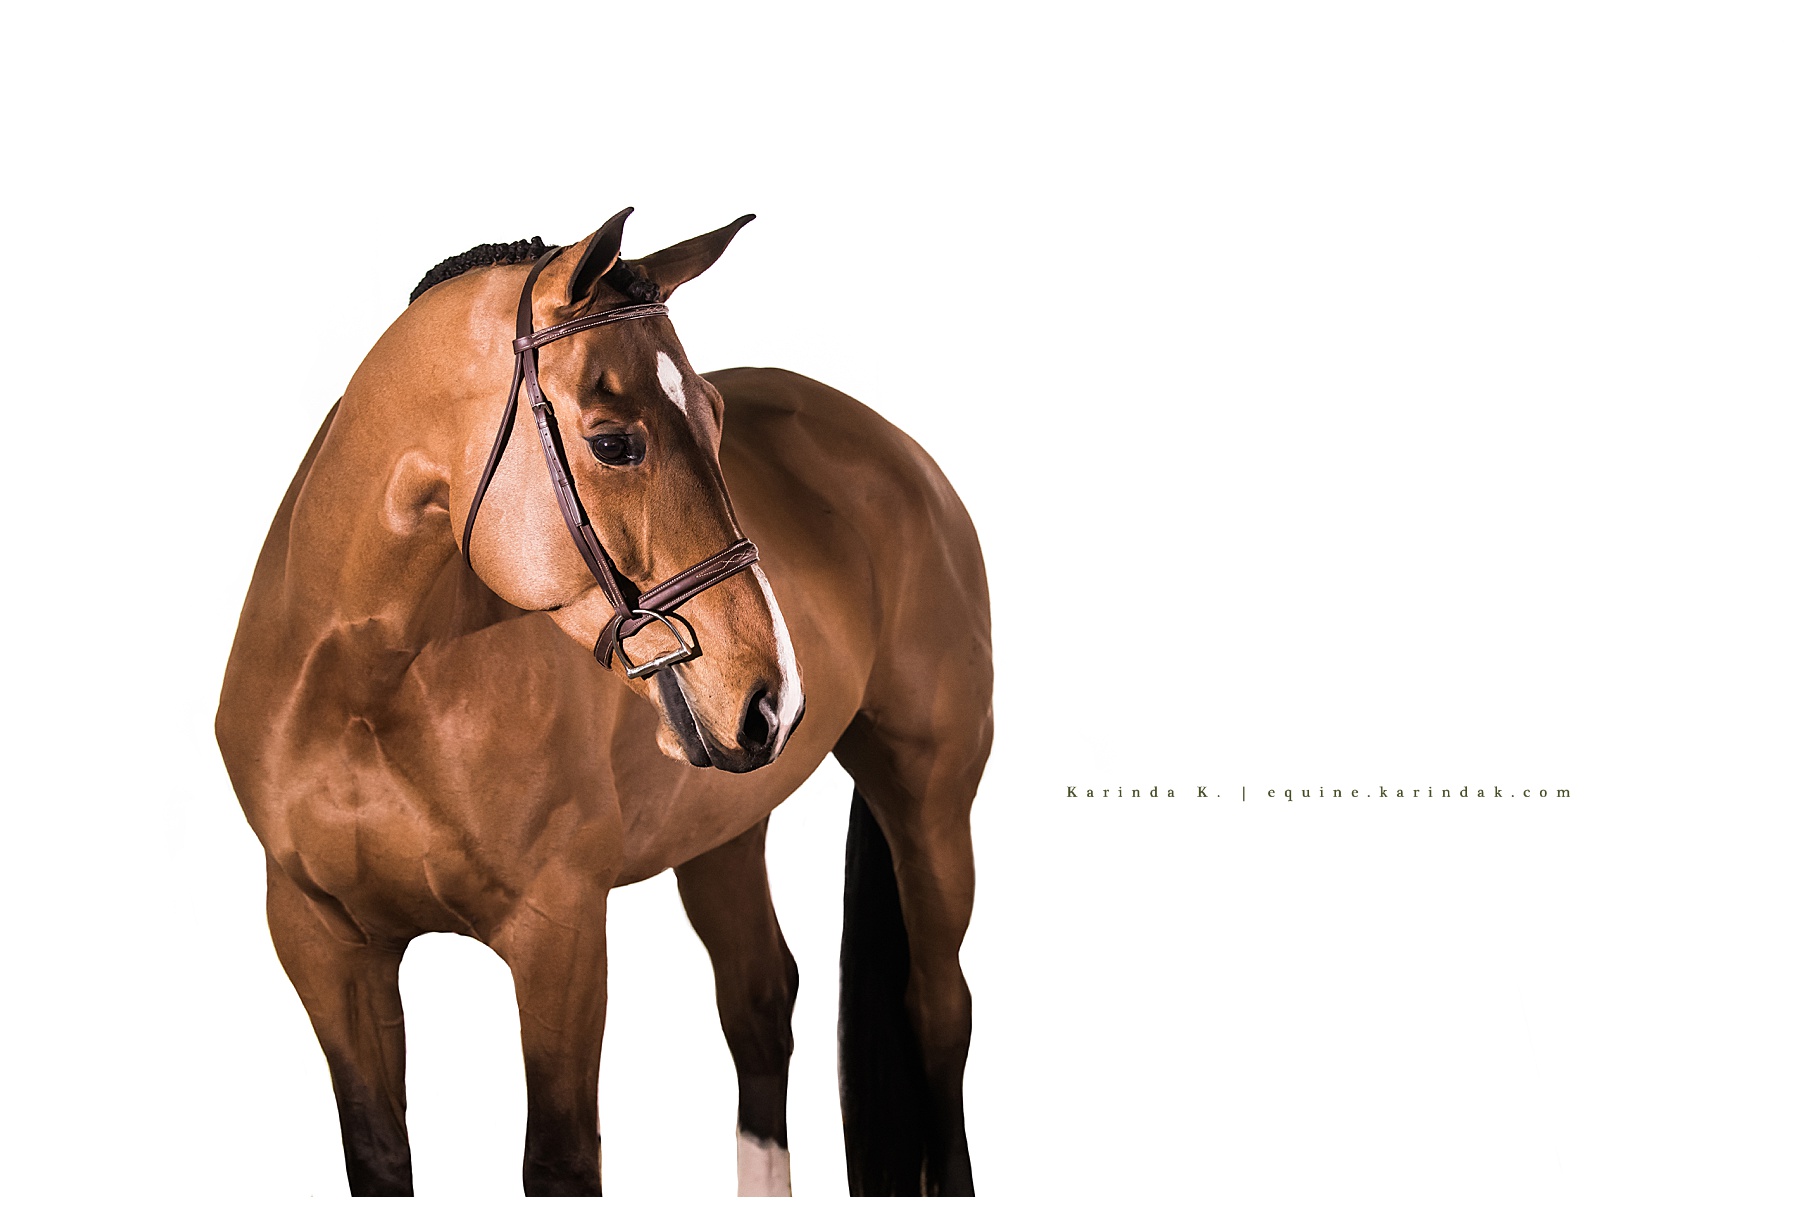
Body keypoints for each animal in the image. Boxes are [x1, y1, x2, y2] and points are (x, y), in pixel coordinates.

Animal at [215, 208, 991, 1197]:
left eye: (717, 418)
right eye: (614, 441)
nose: (775, 693)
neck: (367, 688)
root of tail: (894, 445)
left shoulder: (561, 937)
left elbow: (558, 1157)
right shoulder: (321, 943)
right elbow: (378, 1153)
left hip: (930, 796)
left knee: (938, 1010)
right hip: (722, 829)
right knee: (759, 1003)